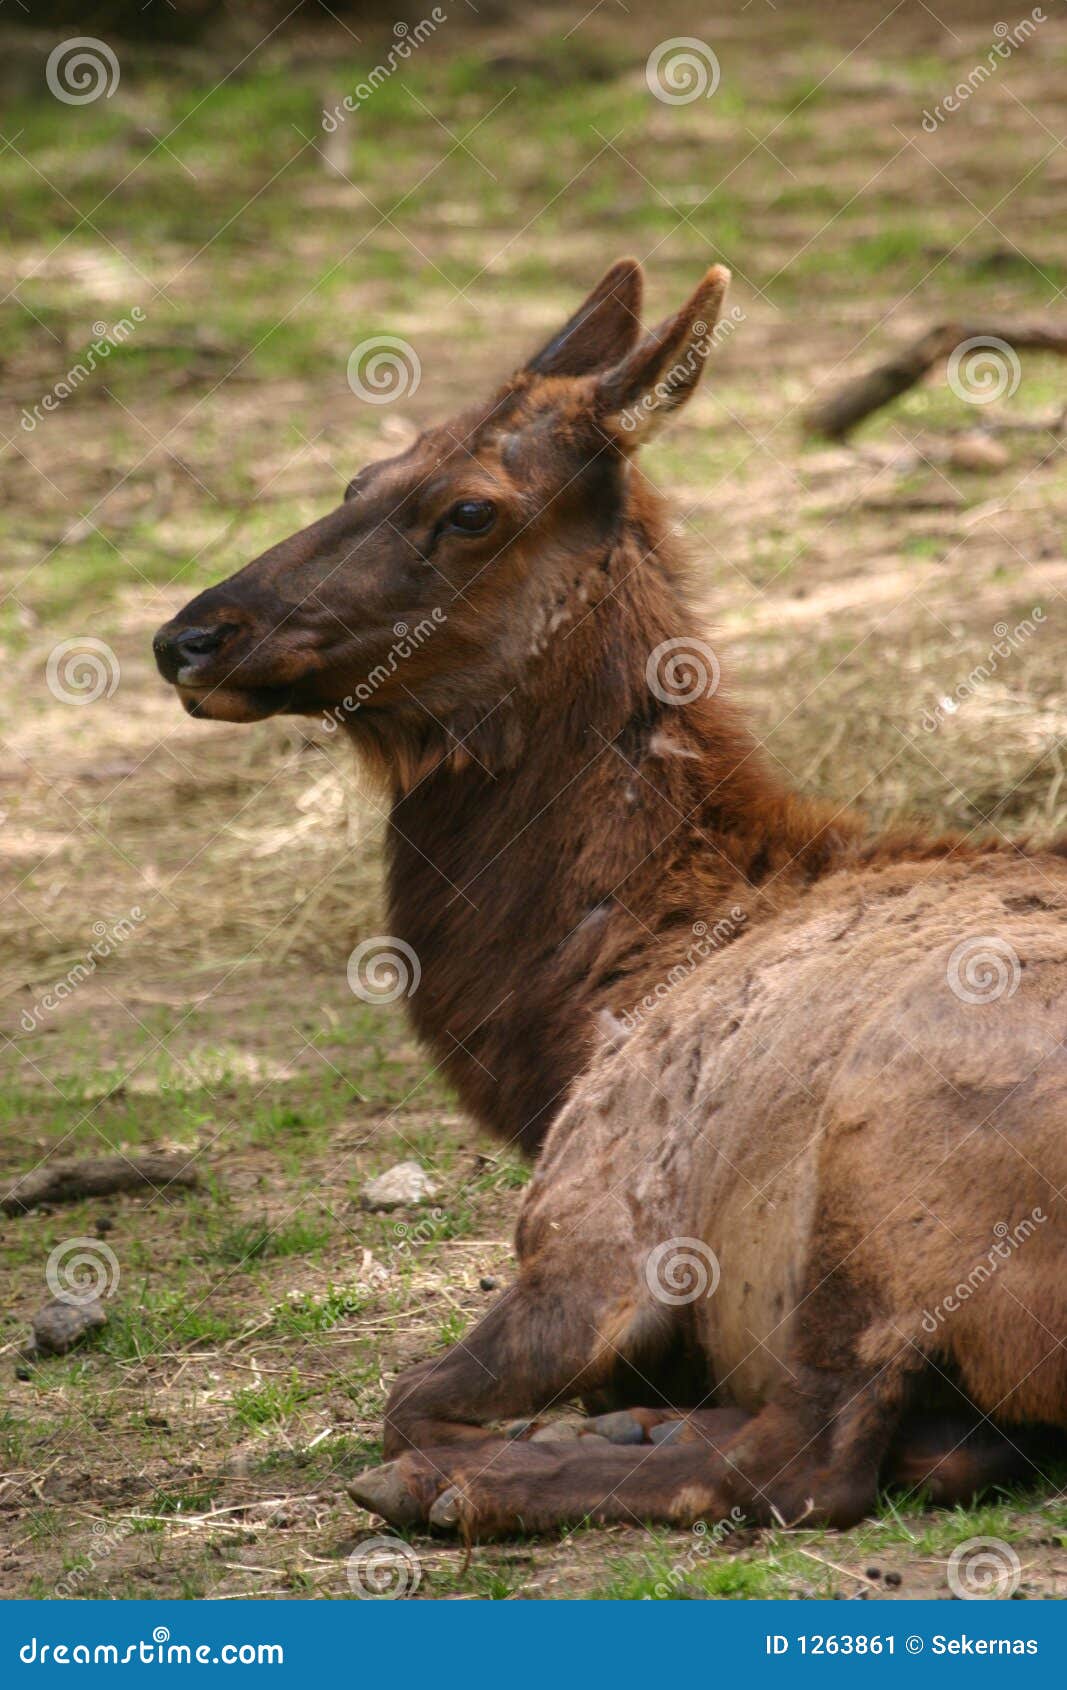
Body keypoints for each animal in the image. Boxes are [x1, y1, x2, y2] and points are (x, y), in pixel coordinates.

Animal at [154, 260, 1067, 1539]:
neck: (568, 1010)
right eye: (360, 476)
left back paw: (477, 1479)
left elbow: (406, 1393)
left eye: (470, 509)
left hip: (890, 1160)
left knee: (804, 1459)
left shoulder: (596, 1224)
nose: (189, 635)